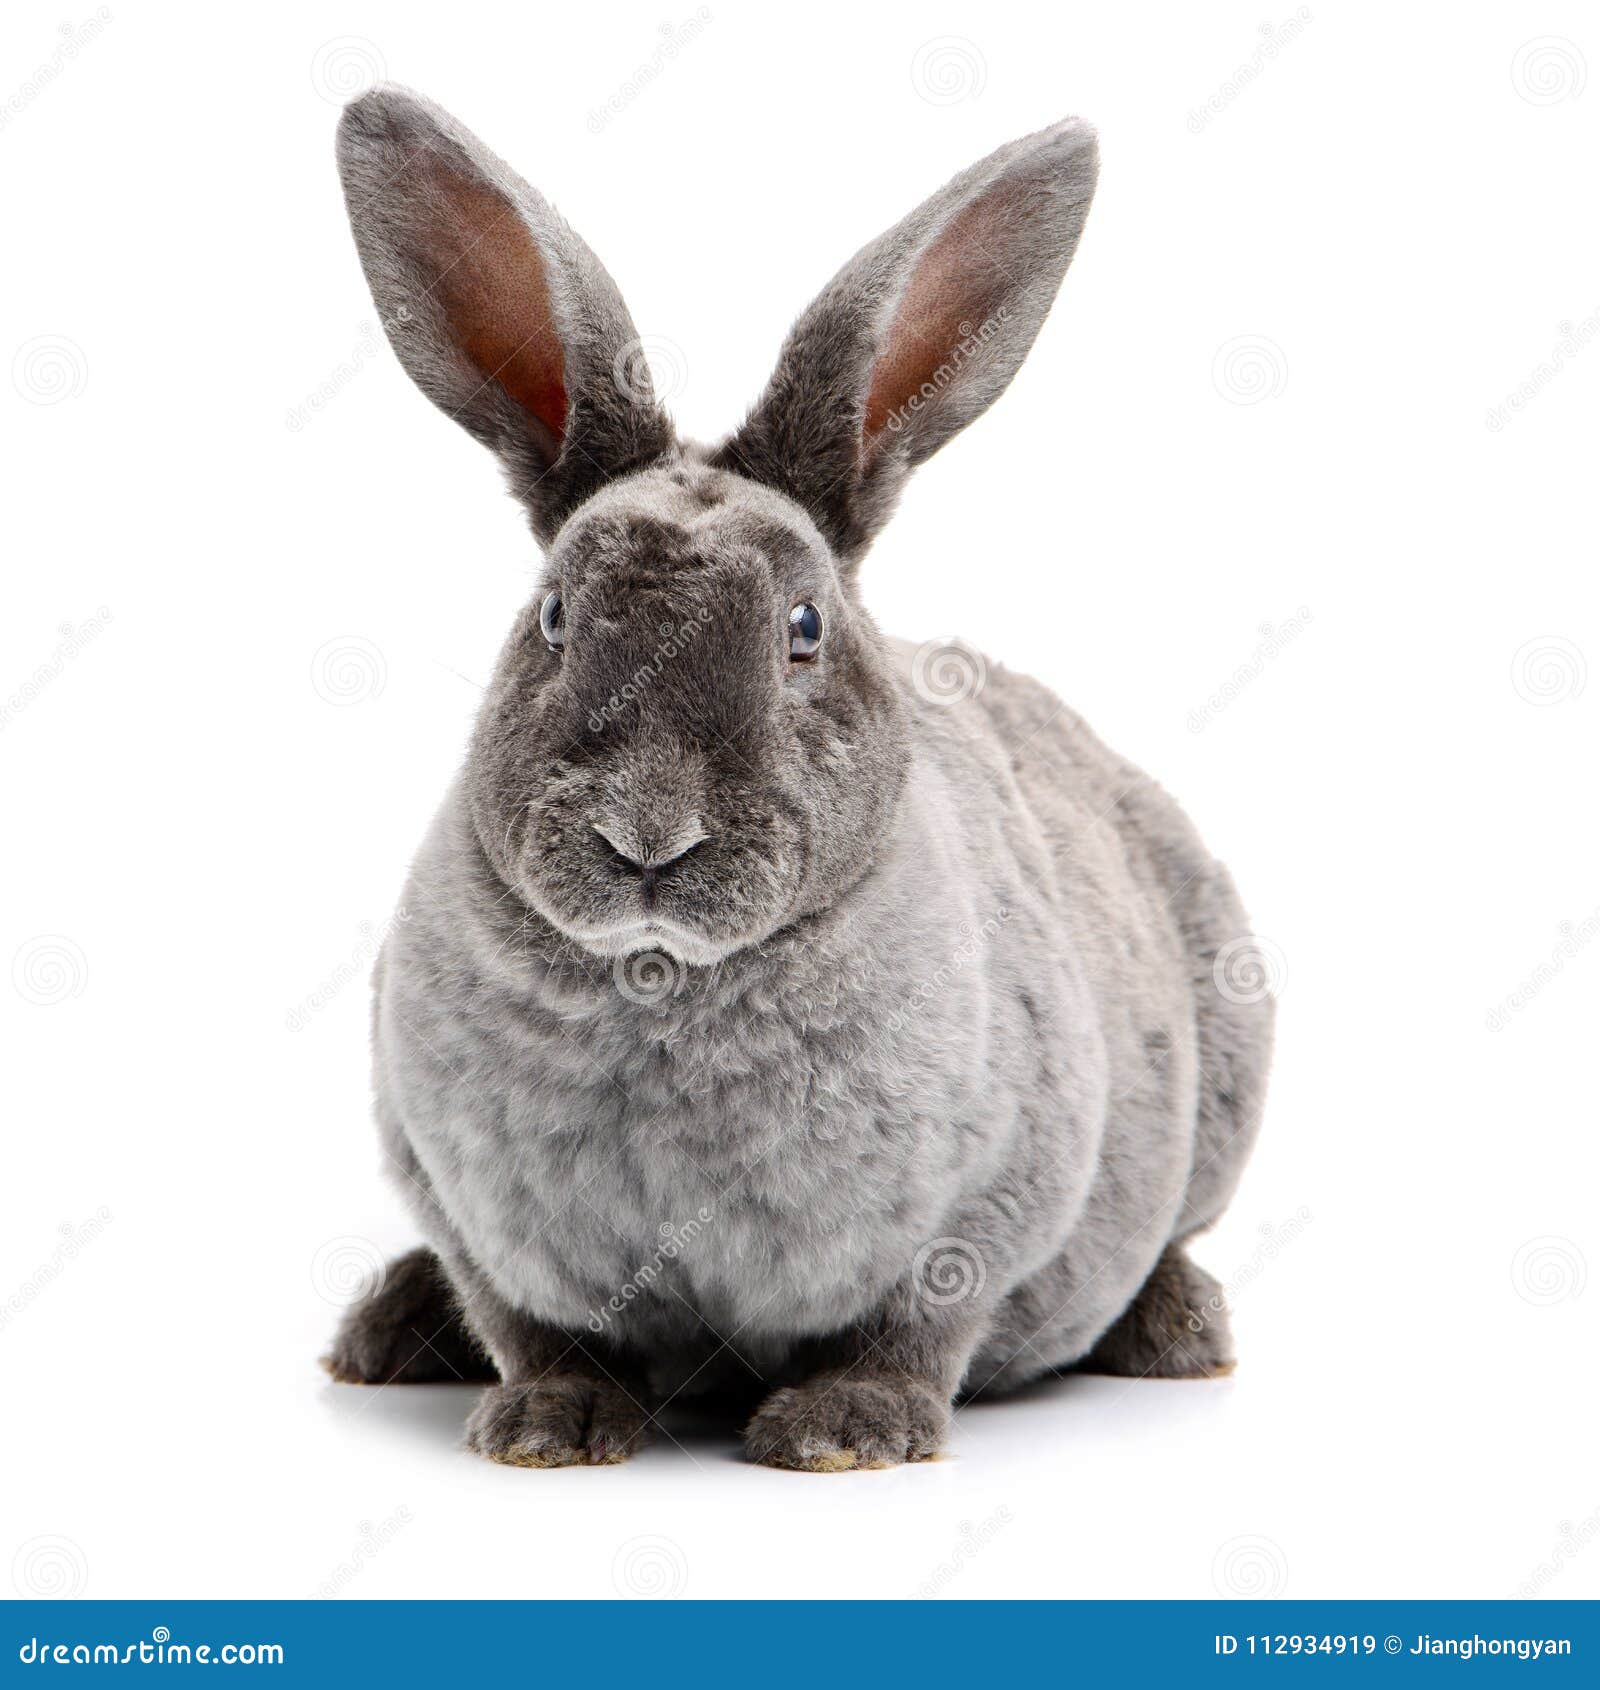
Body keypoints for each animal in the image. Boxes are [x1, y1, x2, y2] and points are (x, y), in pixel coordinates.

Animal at [321, 85, 1274, 1472]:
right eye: (551, 616)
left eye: (804, 628)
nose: (648, 835)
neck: (661, 981)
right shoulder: (459, 1203)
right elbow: (531, 1325)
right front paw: (549, 1424)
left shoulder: (988, 1202)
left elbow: (920, 1324)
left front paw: (841, 1431)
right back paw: (386, 1331)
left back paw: (1176, 1330)